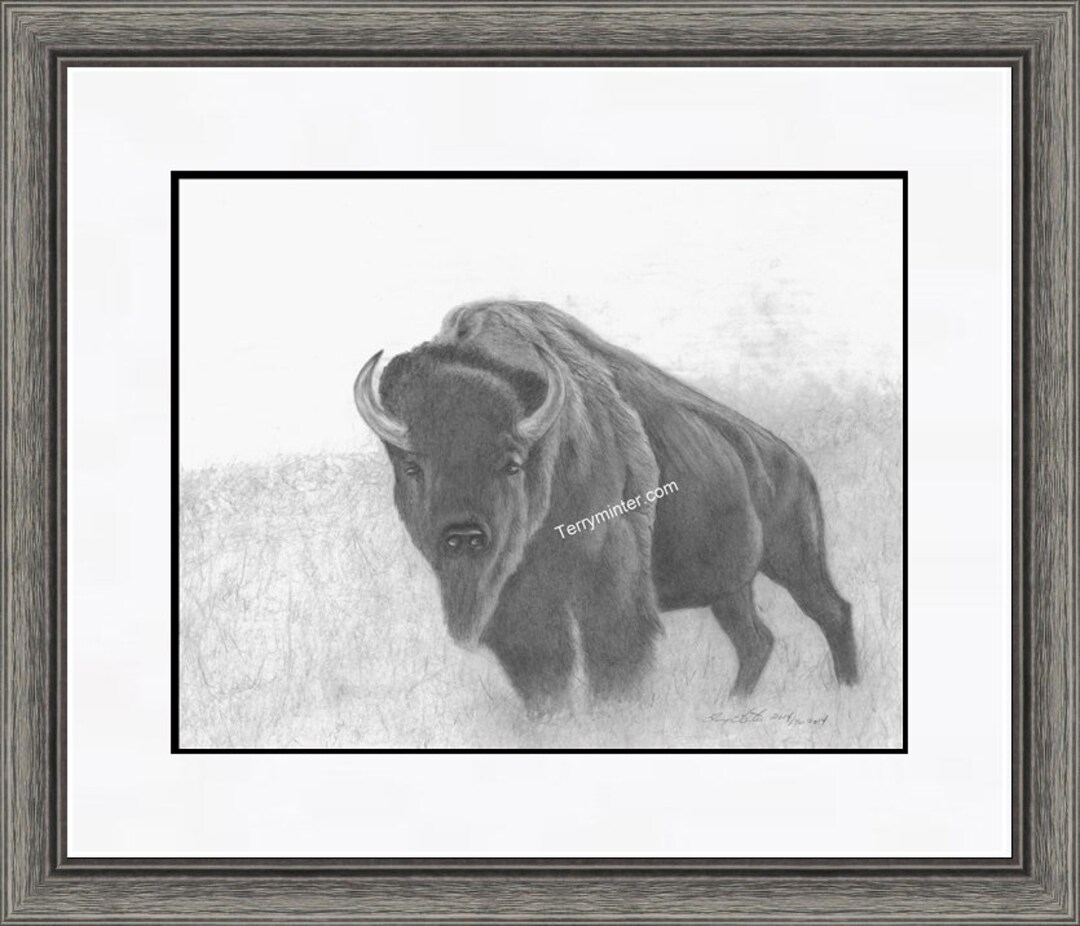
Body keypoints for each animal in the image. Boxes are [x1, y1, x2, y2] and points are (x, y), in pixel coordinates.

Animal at [354, 300, 858, 712]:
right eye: (412, 466)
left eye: (512, 464)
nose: (464, 535)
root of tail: (790, 460)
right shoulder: (518, 611)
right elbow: (544, 676)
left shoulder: (611, 595)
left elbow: (613, 664)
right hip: (731, 588)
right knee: (756, 639)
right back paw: (734, 704)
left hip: (795, 559)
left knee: (832, 611)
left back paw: (848, 691)